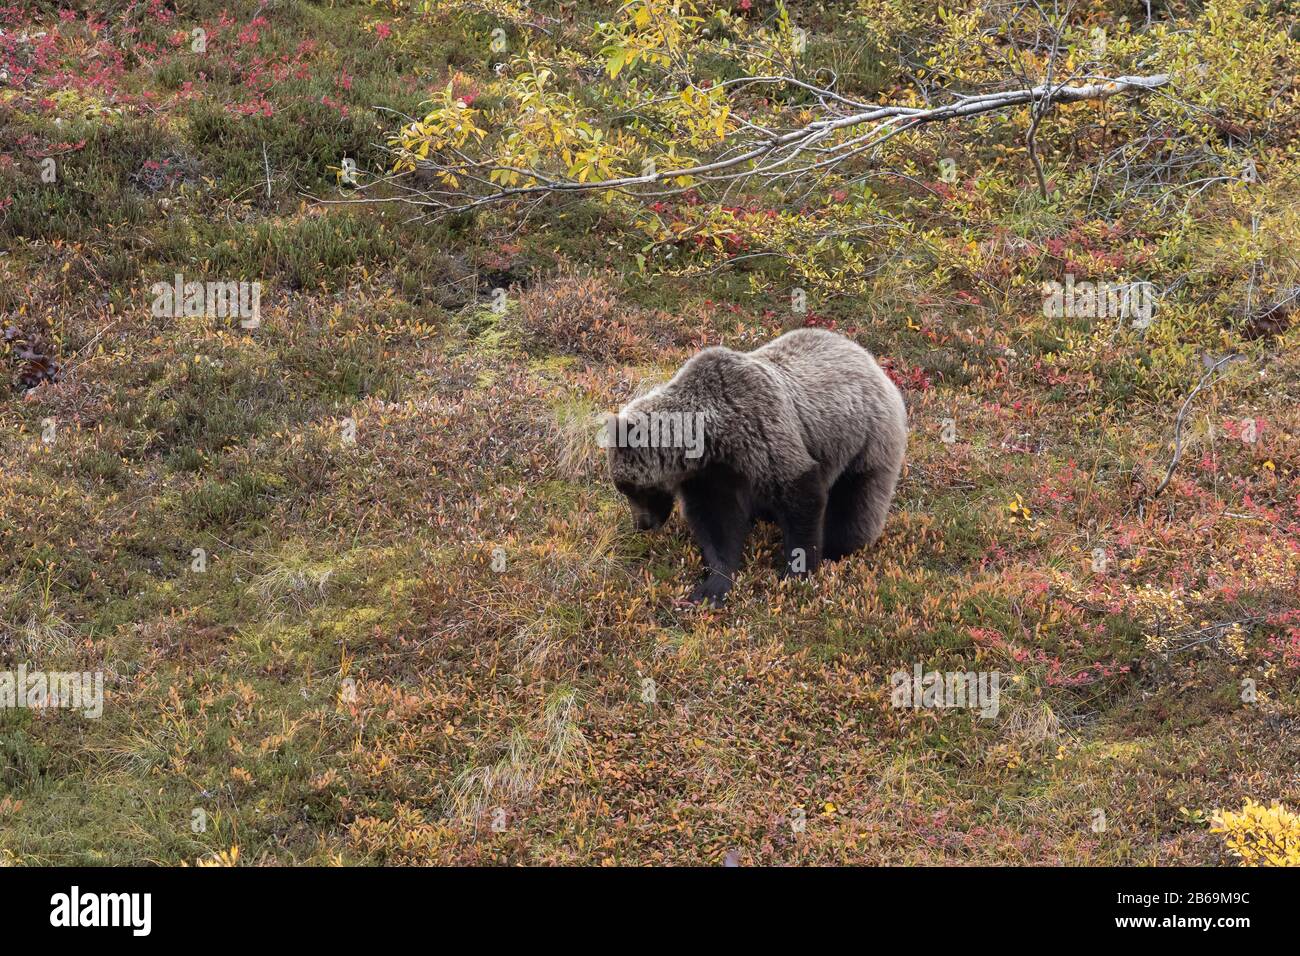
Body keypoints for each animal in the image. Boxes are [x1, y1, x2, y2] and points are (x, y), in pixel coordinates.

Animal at [604, 327, 908, 606]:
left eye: (633, 489)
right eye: (624, 488)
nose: (642, 525)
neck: (714, 439)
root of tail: (872, 361)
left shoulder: (761, 433)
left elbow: (800, 496)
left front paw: (797, 570)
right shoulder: (709, 475)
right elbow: (716, 523)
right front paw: (712, 586)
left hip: (867, 440)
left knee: (856, 503)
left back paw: (839, 549)